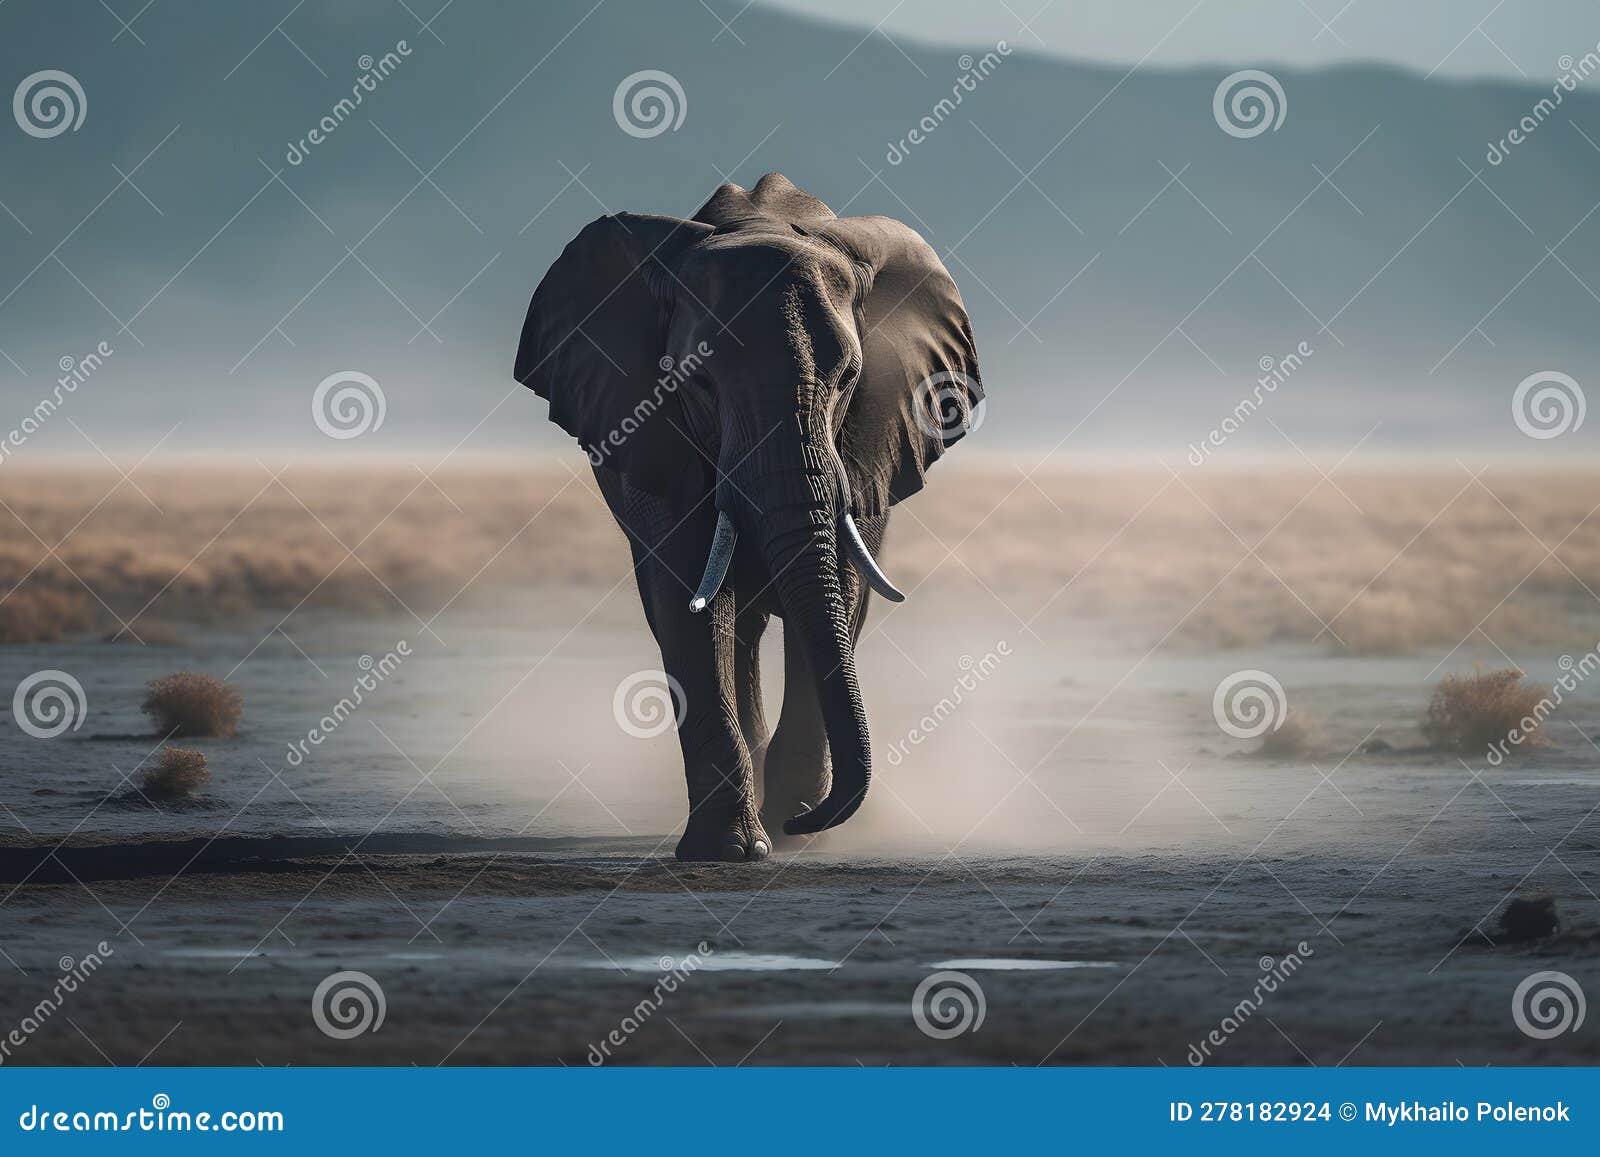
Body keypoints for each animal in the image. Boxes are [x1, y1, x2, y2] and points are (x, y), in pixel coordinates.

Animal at [514, 172, 983, 862]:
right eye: (697, 383)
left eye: (849, 377)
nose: (810, 821)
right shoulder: (651, 433)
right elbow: (687, 602)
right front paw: (732, 849)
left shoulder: (869, 436)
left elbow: (842, 592)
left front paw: (793, 831)